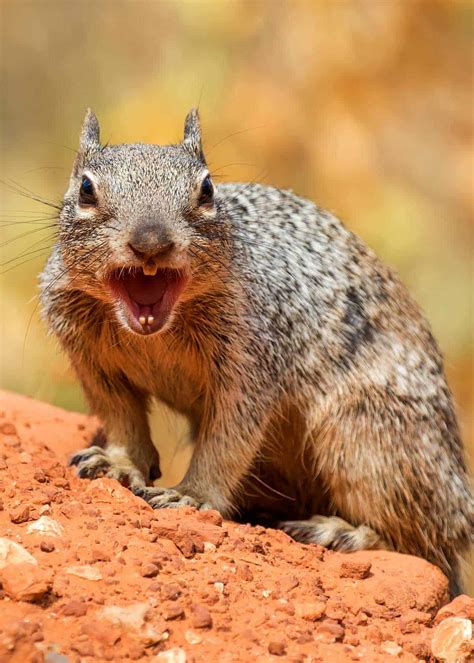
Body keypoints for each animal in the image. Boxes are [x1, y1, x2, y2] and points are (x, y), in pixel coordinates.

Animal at [40, 108, 473, 595]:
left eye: (207, 189)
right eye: (86, 189)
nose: (151, 243)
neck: (154, 334)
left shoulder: (251, 363)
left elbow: (229, 439)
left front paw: (190, 495)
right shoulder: (94, 364)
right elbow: (121, 418)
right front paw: (116, 462)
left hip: (366, 443)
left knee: (421, 543)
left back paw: (338, 531)